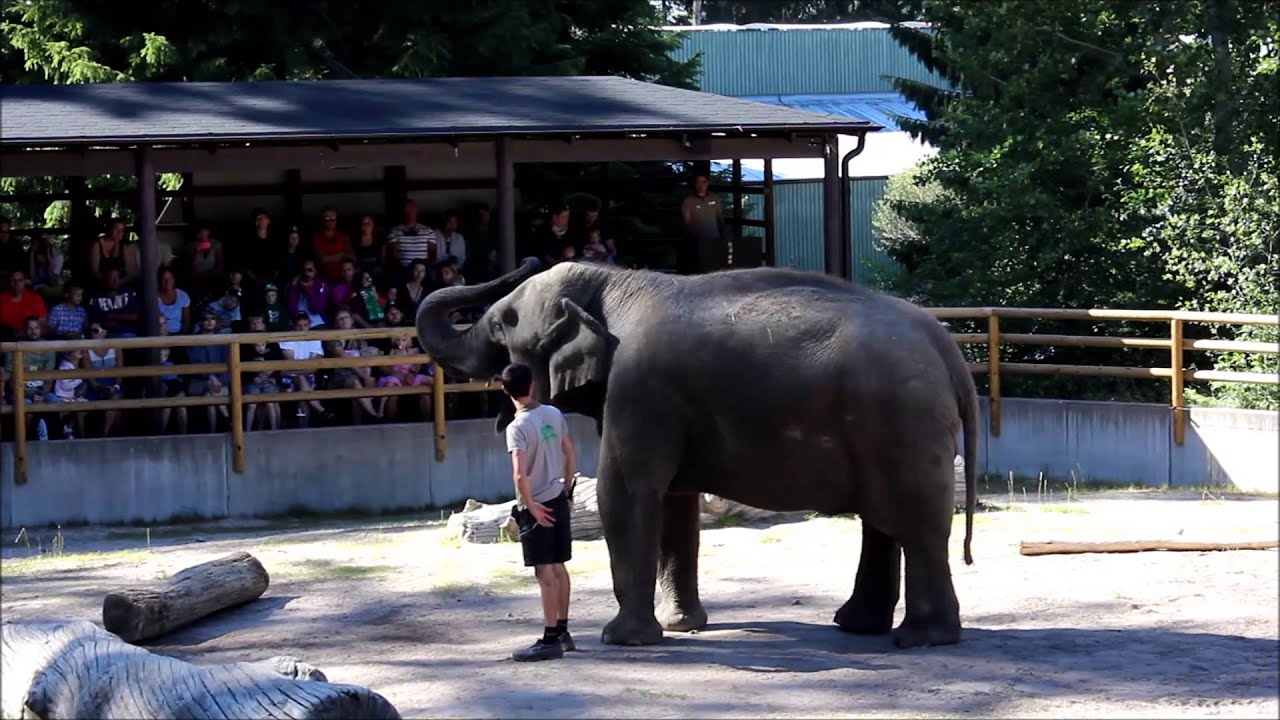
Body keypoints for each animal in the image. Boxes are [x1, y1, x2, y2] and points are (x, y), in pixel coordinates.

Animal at [416, 258, 977, 649]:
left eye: (506, 320)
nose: (527, 258)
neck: (612, 282)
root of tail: (946, 347)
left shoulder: (640, 389)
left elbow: (626, 492)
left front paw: (623, 639)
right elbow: (674, 503)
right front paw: (681, 626)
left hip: (901, 420)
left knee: (915, 525)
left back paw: (920, 639)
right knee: (882, 522)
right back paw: (859, 627)